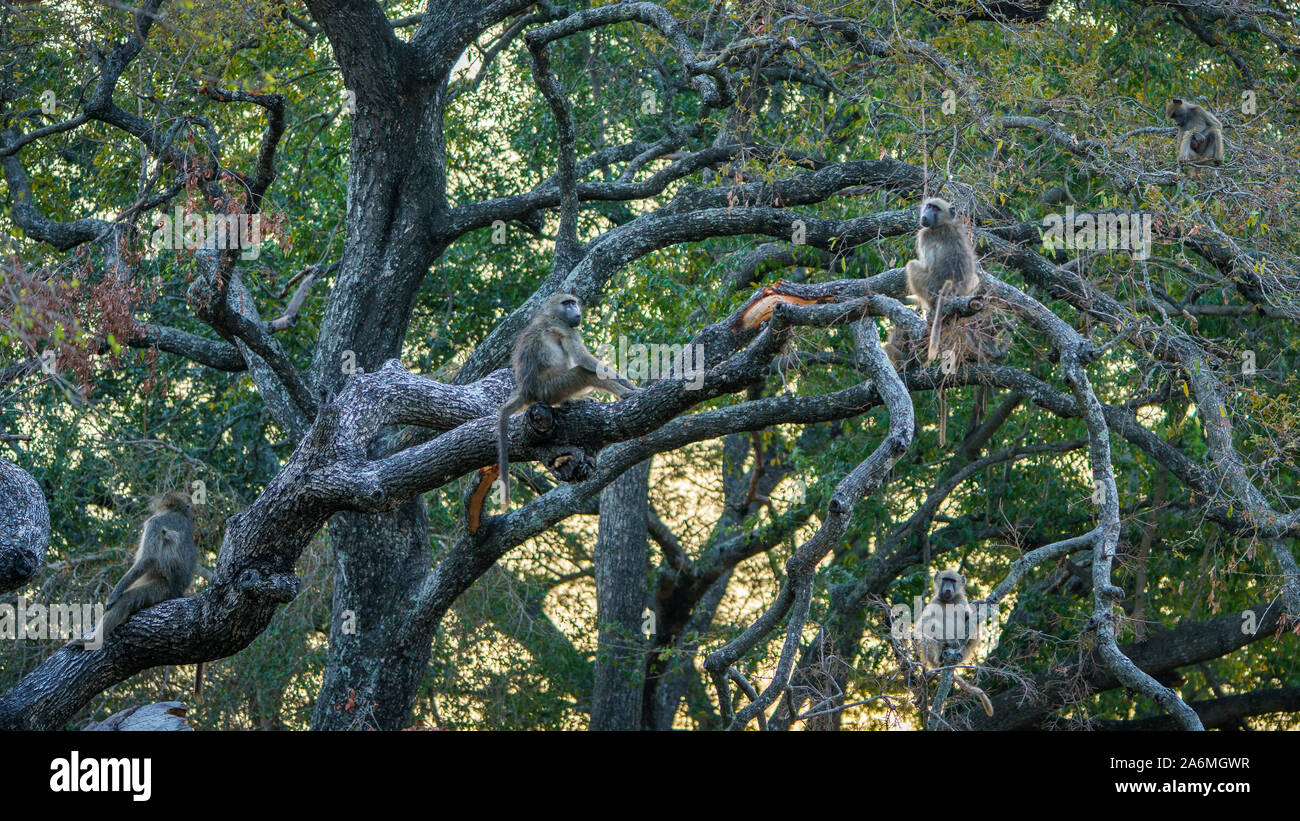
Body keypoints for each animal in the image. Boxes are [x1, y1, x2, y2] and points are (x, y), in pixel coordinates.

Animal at [72, 492, 199, 649]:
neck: (176, 512)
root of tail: (177, 590)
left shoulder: (154, 522)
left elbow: (148, 558)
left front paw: (114, 595)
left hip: (161, 589)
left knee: (125, 600)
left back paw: (93, 641)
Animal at [496, 293, 639, 508]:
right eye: (567, 303)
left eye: (573, 302)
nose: (576, 311)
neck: (553, 315)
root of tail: (526, 391)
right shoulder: (566, 329)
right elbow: (584, 360)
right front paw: (630, 386)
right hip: (553, 388)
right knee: (583, 372)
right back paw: (621, 394)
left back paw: (572, 402)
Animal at [903, 197, 980, 363]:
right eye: (929, 206)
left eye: (936, 208)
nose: (925, 215)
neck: (943, 224)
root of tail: (953, 290)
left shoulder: (924, 235)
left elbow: (927, 265)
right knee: (976, 277)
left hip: (931, 287)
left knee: (911, 266)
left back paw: (929, 307)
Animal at [914, 569, 994, 717]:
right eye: (945, 579)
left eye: (952, 581)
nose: (947, 589)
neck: (949, 601)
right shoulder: (935, 601)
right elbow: (922, 626)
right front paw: (950, 640)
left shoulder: (961, 600)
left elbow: (968, 617)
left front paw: (977, 605)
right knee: (930, 626)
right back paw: (940, 655)